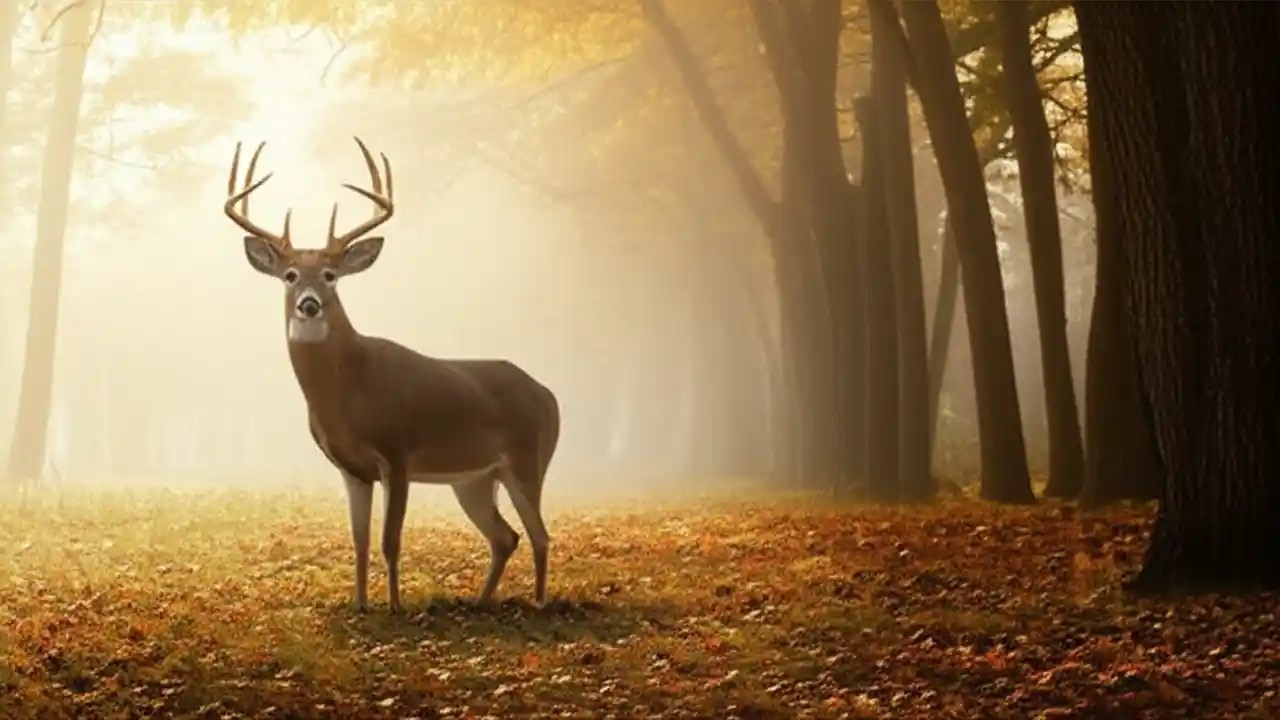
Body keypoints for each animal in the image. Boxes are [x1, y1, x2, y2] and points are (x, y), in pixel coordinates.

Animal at [222, 137, 560, 614]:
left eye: (330, 275)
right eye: (289, 275)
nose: (309, 304)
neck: (347, 393)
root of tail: (548, 394)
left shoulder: (398, 452)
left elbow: (390, 540)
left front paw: (397, 608)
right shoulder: (352, 469)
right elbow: (360, 542)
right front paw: (361, 605)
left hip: (528, 459)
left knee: (540, 535)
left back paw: (540, 603)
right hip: (473, 479)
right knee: (505, 537)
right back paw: (480, 602)